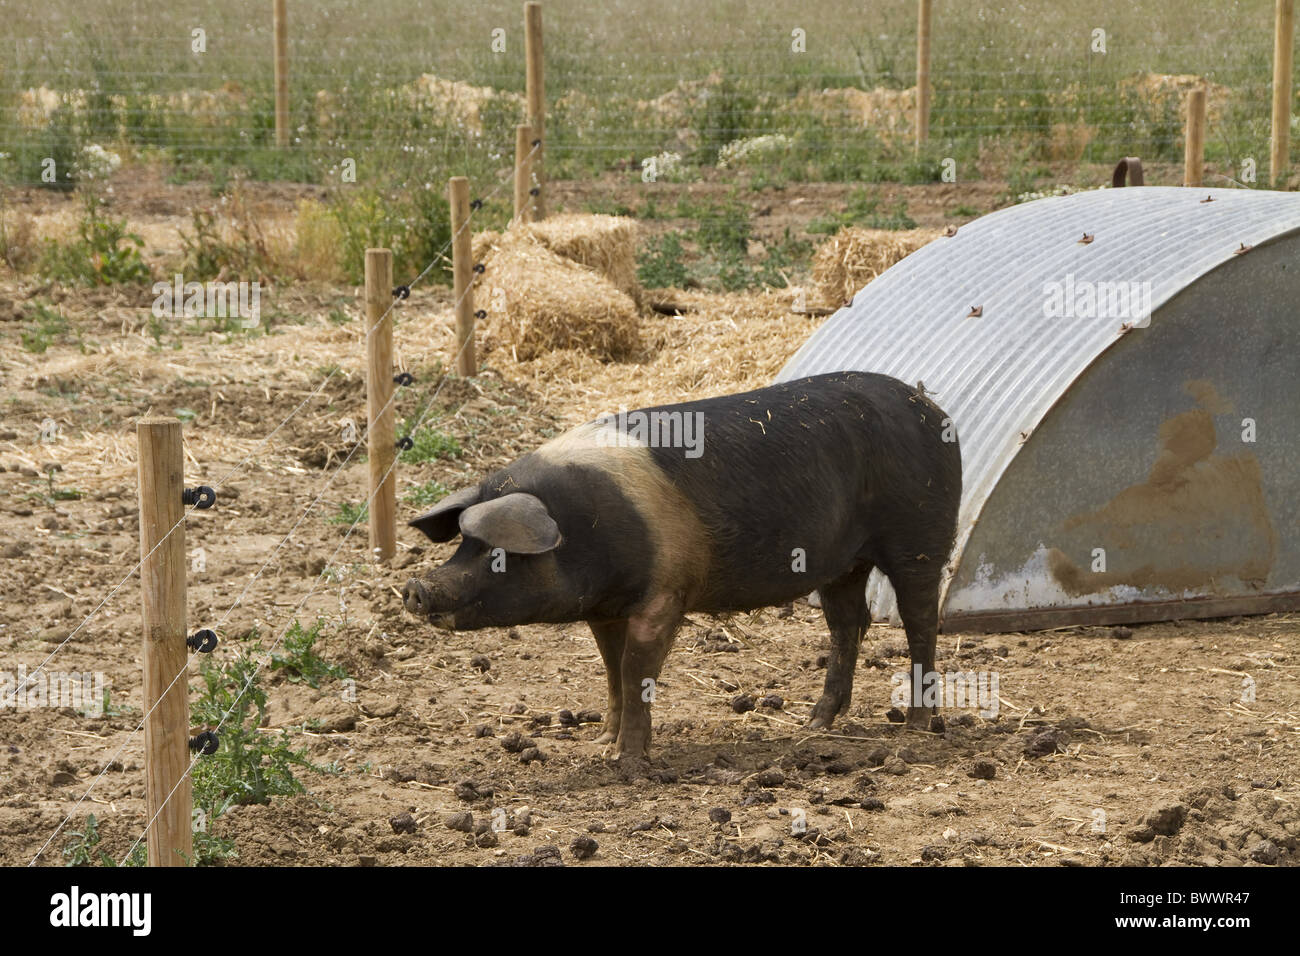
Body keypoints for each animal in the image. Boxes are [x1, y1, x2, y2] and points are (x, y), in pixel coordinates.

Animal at [402, 371, 961, 761]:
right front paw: (599, 742)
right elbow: (611, 670)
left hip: (920, 537)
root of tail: (932, 408)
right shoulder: (605, 609)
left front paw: (626, 760)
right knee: (848, 624)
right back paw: (814, 725)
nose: (416, 587)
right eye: (462, 545)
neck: (588, 523)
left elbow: (636, 670)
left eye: (496, 553)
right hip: (842, 562)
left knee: (919, 622)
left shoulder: (663, 597)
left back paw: (917, 727)